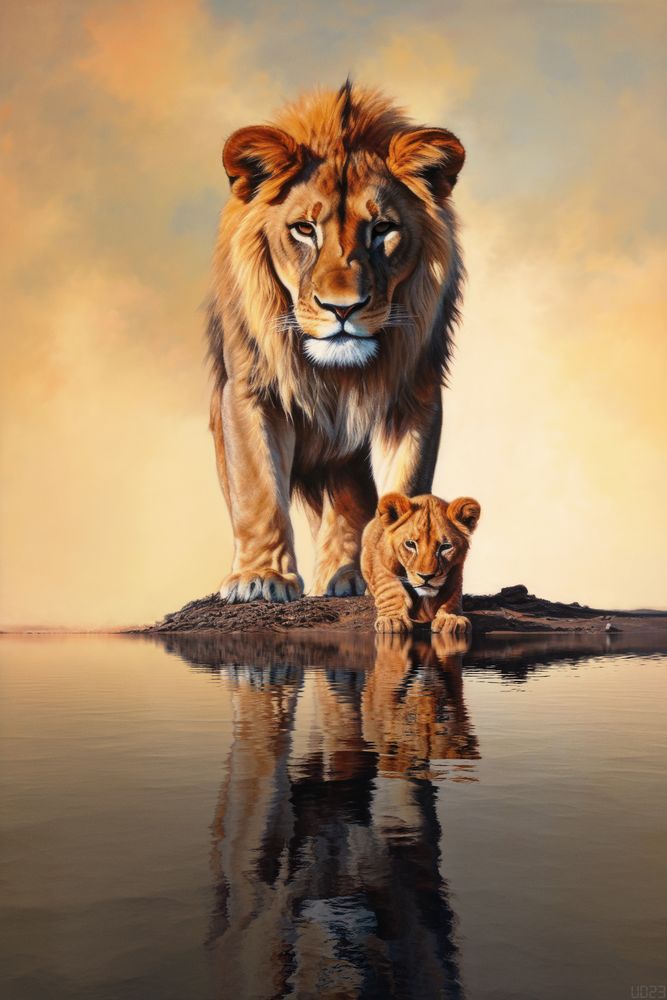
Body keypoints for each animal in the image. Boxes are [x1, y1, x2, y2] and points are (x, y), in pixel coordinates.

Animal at [208, 80, 466, 602]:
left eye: (382, 229)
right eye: (304, 229)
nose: (342, 308)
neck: (337, 372)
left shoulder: (414, 394)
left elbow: (406, 484)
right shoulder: (248, 389)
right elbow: (258, 490)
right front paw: (260, 577)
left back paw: (348, 574)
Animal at [360, 493, 481, 634]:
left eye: (445, 546)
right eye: (410, 544)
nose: (426, 577)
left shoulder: (456, 570)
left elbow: (452, 596)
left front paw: (451, 618)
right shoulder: (382, 562)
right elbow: (391, 590)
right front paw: (393, 620)